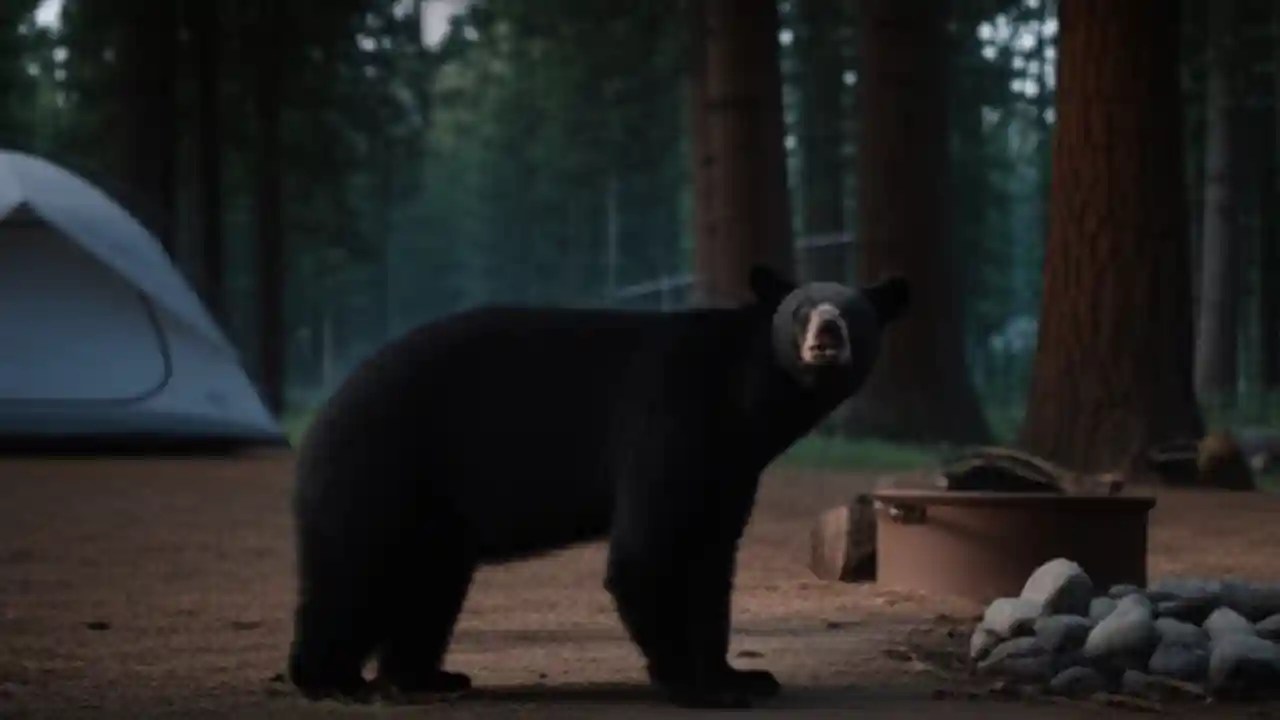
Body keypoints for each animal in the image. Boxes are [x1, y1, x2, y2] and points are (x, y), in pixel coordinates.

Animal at [286, 265, 909, 708]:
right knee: (352, 572)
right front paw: (696, 685)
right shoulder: (668, 415)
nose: (827, 332)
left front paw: (741, 675)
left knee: (429, 585)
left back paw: (426, 676)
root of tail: (324, 413)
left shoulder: (729, 466)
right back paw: (331, 679)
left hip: (429, 506)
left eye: (853, 311)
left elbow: (711, 560)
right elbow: (648, 552)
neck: (742, 402)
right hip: (383, 466)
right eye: (799, 310)